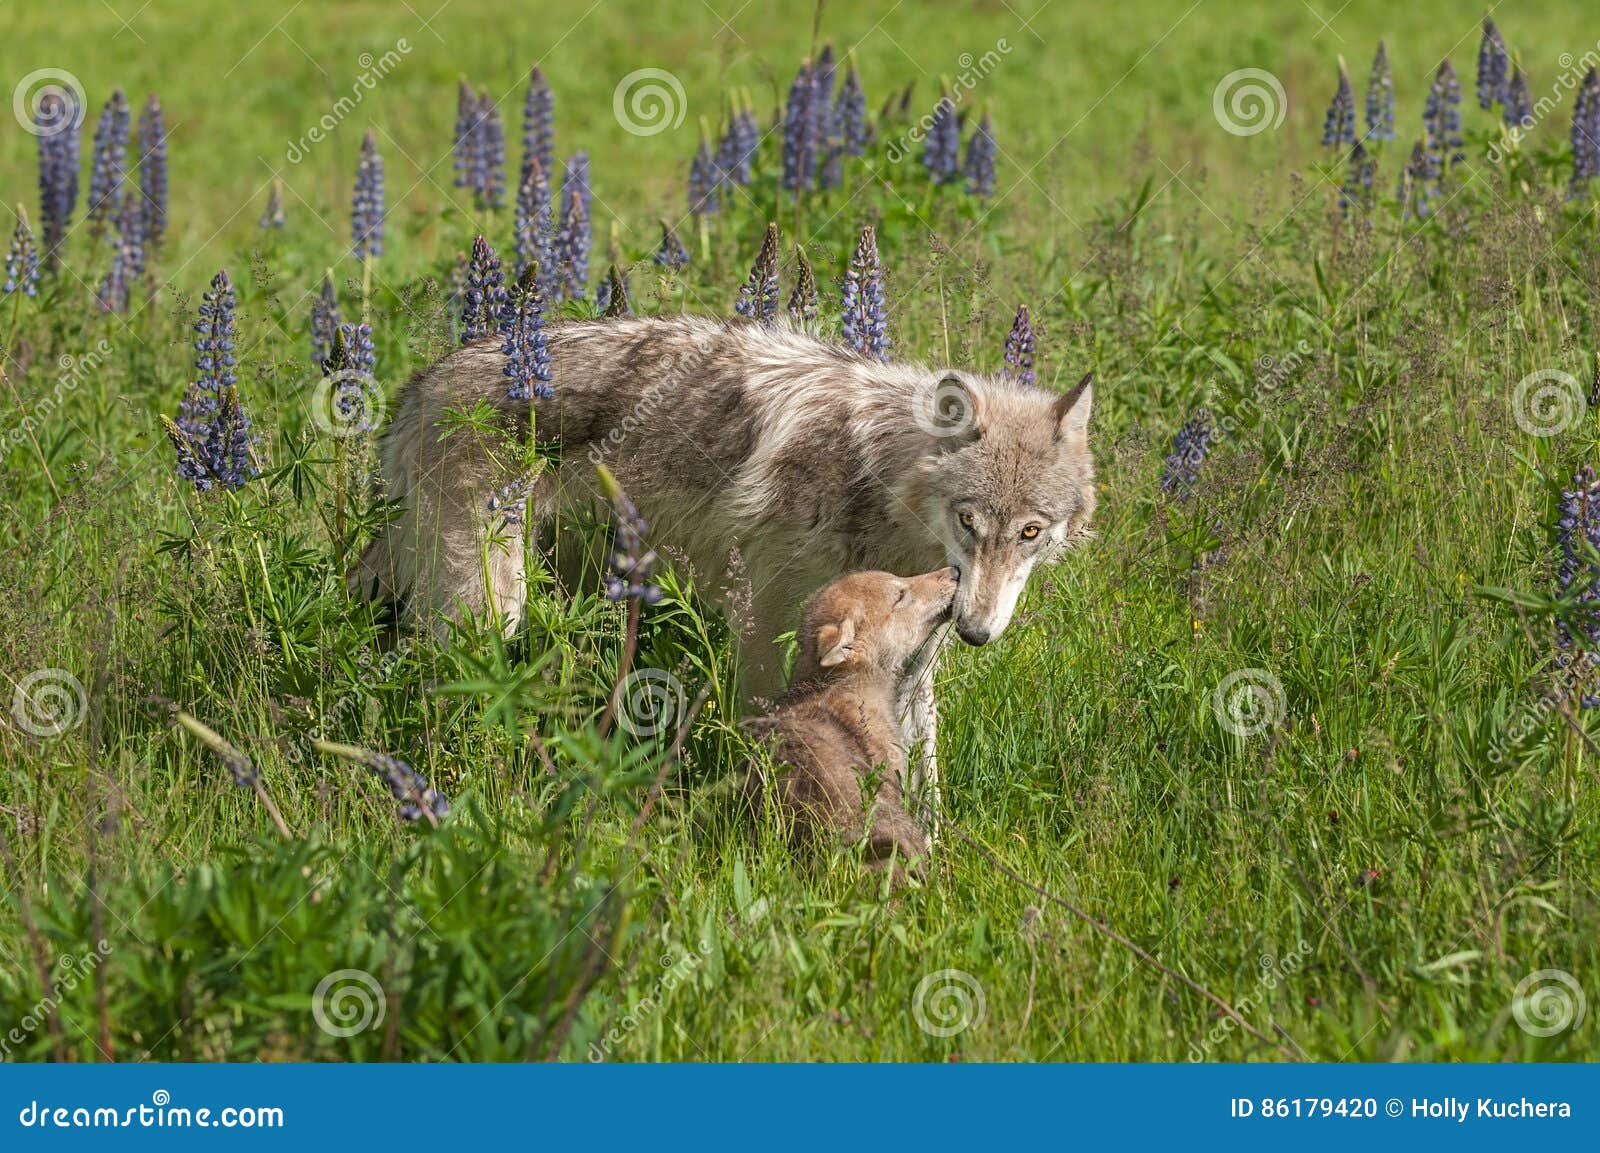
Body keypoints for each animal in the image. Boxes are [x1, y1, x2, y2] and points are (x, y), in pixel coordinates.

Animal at [356, 314, 1095, 799]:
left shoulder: (912, 667)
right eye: (969, 520)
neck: (873, 475)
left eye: (1030, 532)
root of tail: (420, 383)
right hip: (490, 614)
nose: (976, 631)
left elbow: (927, 784)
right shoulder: (762, 622)